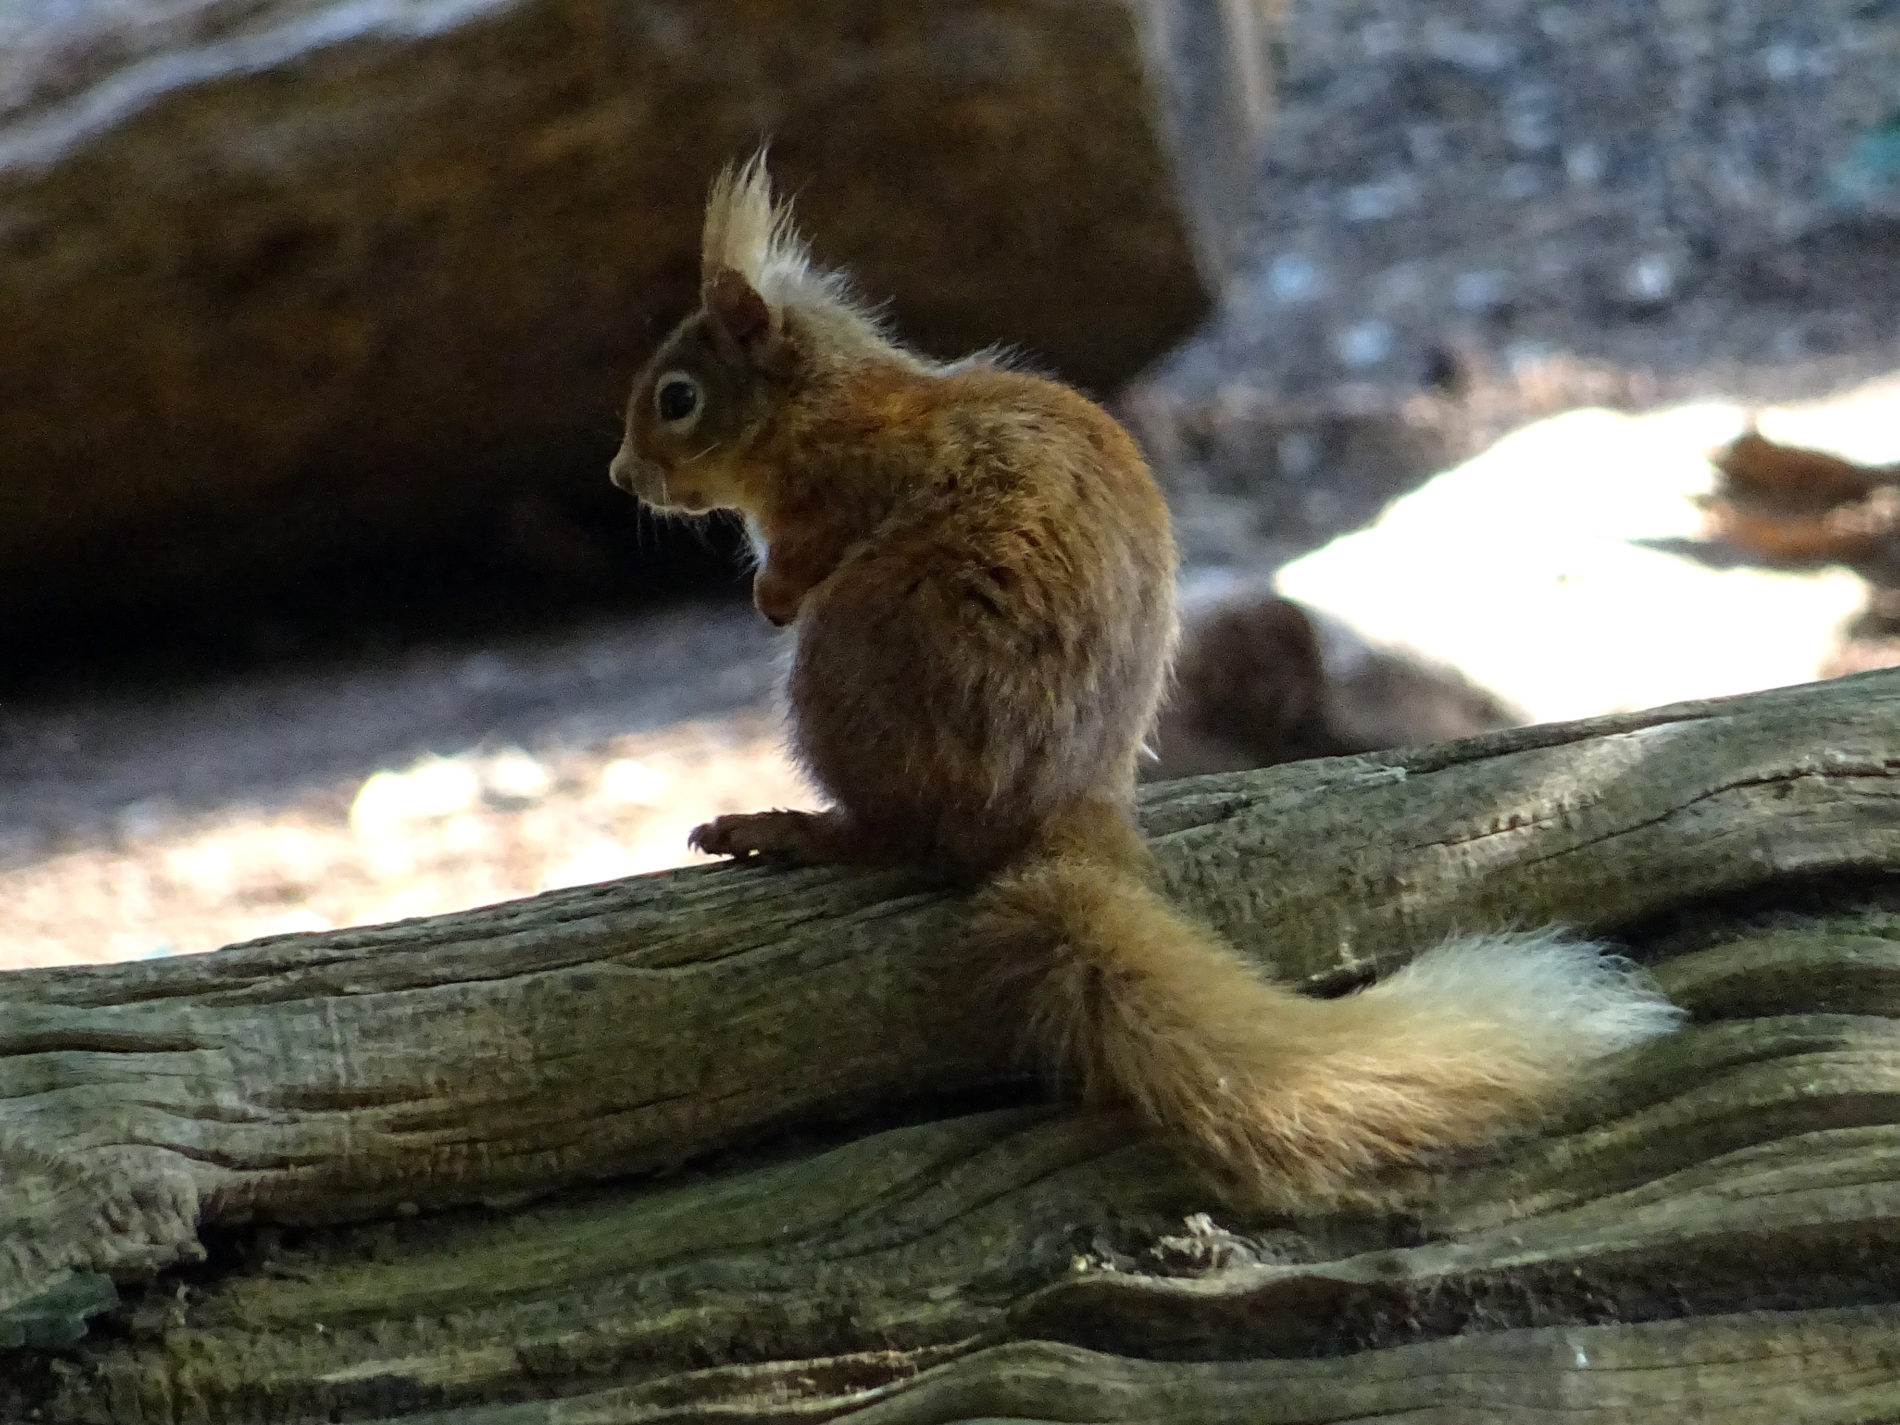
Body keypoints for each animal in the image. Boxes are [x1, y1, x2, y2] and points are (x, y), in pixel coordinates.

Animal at [608, 157, 1681, 1206]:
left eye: (677, 397)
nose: (623, 478)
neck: (818, 404)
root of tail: (1056, 819)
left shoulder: (853, 482)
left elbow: (814, 543)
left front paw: (772, 592)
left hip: (848, 667)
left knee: (899, 843)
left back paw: (788, 828)